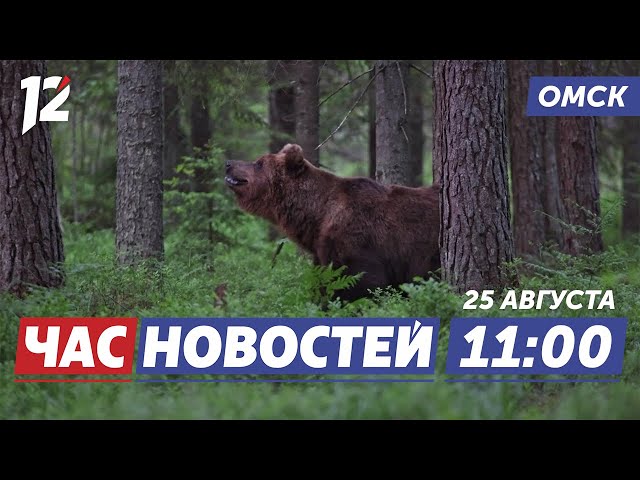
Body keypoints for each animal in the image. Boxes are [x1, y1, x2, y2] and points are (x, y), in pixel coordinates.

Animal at [225, 143, 440, 302]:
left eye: (259, 163)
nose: (228, 163)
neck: (318, 215)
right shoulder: (322, 250)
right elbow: (322, 283)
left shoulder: (357, 242)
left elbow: (360, 285)